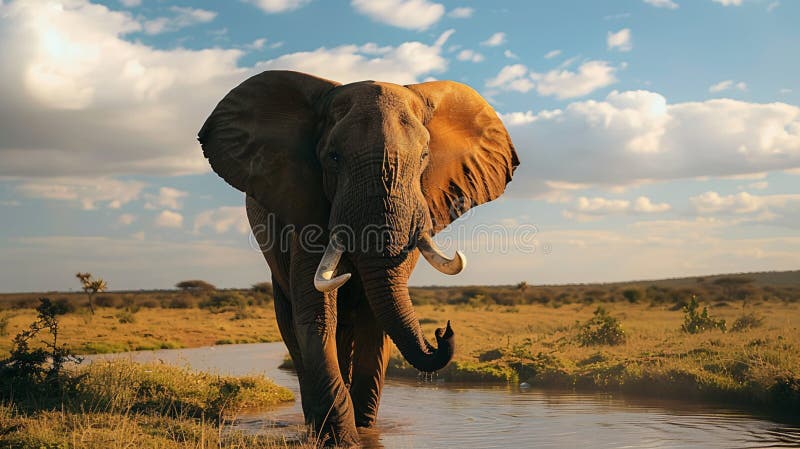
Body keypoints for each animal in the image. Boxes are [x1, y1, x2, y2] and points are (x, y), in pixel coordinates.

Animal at [198, 70, 518, 447]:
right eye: (333, 157)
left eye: (425, 156)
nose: (443, 330)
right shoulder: (304, 209)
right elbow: (317, 316)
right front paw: (343, 439)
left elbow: (373, 319)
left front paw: (365, 432)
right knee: (292, 324)